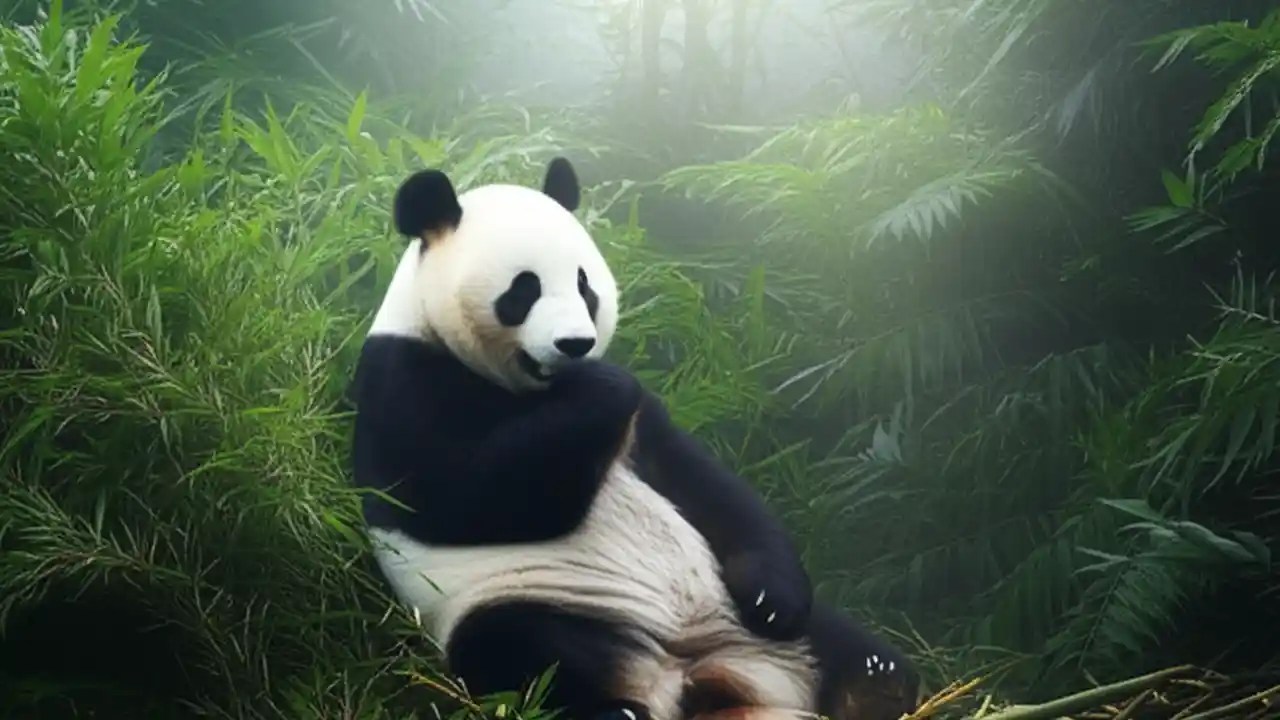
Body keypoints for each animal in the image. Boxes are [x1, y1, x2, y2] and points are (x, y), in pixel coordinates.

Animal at [350, 156, 919, 720]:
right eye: (524, 290)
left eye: (585, 286)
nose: (576, 344)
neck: (532, 392)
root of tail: (696, 670)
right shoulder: (400, 382)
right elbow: (466, 496)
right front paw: (602, 385)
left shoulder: (645, 428)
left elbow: (705, 484)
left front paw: (772, 599)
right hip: (521, 600)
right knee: (517, 650)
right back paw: (615, 709)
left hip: (739, 617)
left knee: (837, 638)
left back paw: (876, 683)